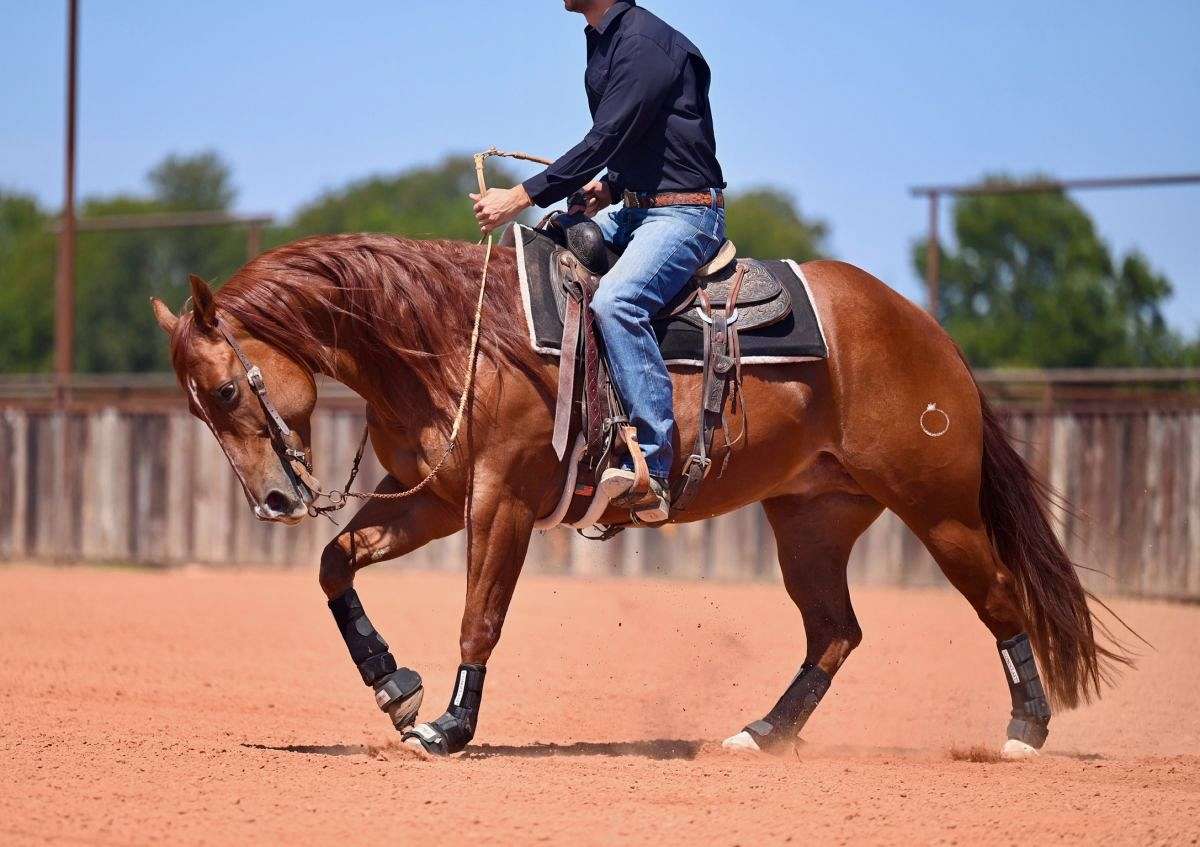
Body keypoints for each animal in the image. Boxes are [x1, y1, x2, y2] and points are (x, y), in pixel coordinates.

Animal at [150, 230, 1126, 758]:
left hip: (941, 508)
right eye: (197, 403)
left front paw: (450, 727)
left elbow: (480, 616)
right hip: (812, 519)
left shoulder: (500, 501)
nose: (273, 501)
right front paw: (394, 685)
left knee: (1000, 600)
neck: (452, 336)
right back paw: (762, 734)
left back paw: (1024, 729)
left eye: (228, 390)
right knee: (835, 632)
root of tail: (927, 330)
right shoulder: (428, 497)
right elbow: (335, 561)